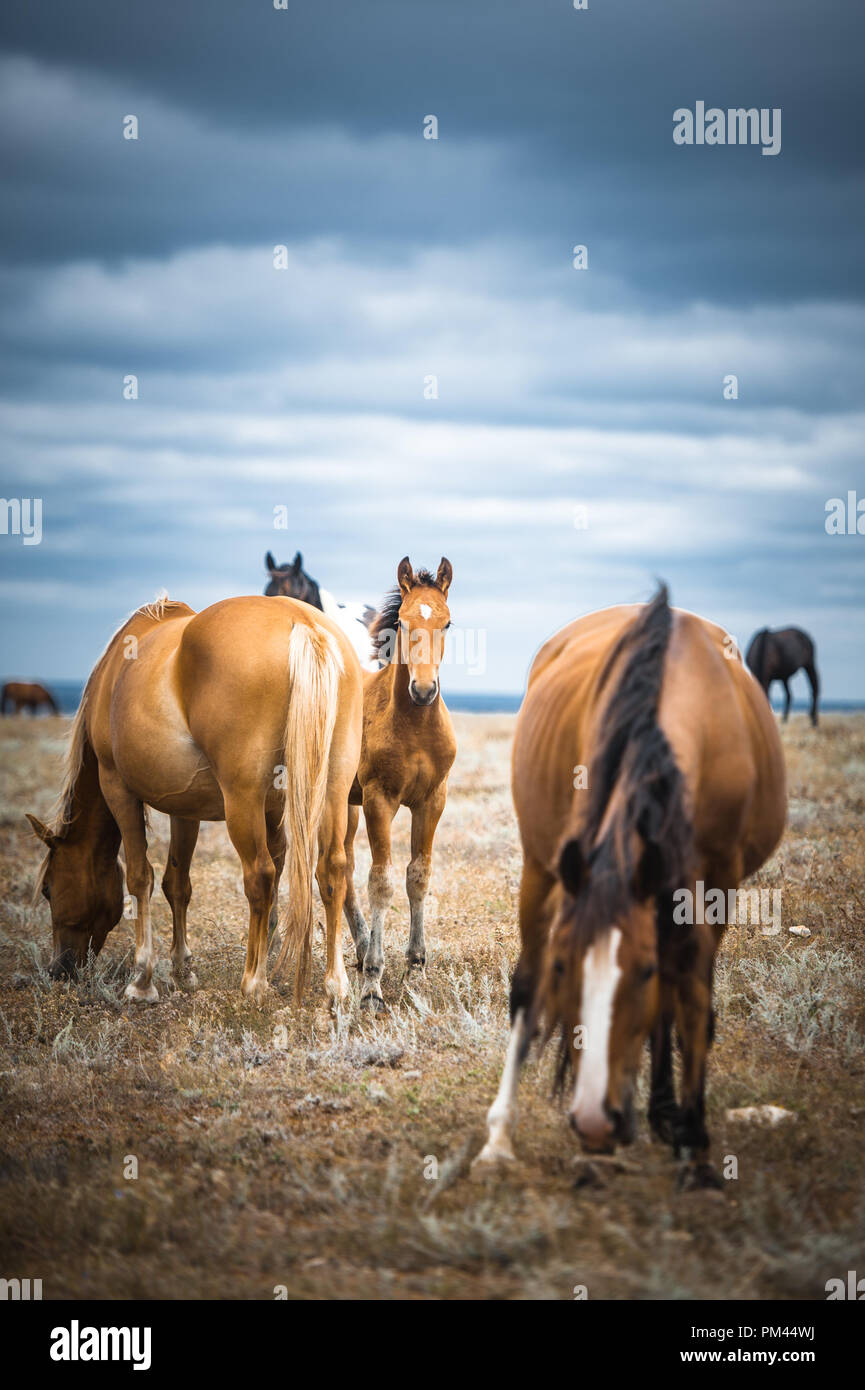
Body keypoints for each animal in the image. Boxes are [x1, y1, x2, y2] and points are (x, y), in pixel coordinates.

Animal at [27, 595, 362, 1006]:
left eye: (48, 888)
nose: (59, 970)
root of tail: (302, 623)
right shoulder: (188, 808)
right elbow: (178, 883)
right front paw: (182, 968)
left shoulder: (117, 787)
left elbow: (140, 877)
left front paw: (142, 980)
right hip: (333, 790)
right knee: (332, 870)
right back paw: (336, 983)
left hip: (241, 800)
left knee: (260, 875)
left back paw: (253, 983)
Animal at [343, 557, 457, 1011]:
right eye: (405, 623)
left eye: (447, 623)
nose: (424, 690)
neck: (415, 727)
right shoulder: (380, 800)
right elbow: (382, 881)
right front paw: (373, 985)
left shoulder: (432, 801)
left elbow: (417, 876)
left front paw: (416, 970)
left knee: (335, 867)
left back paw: (358, 951)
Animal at [473, 585, 786, 1189]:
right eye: (564, 967)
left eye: (639, 973)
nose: (596, 1121)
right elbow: (530, 990)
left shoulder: (716, 888)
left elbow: (691, 1002)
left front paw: (695, 1147)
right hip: (545, 867)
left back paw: (665, 1112)